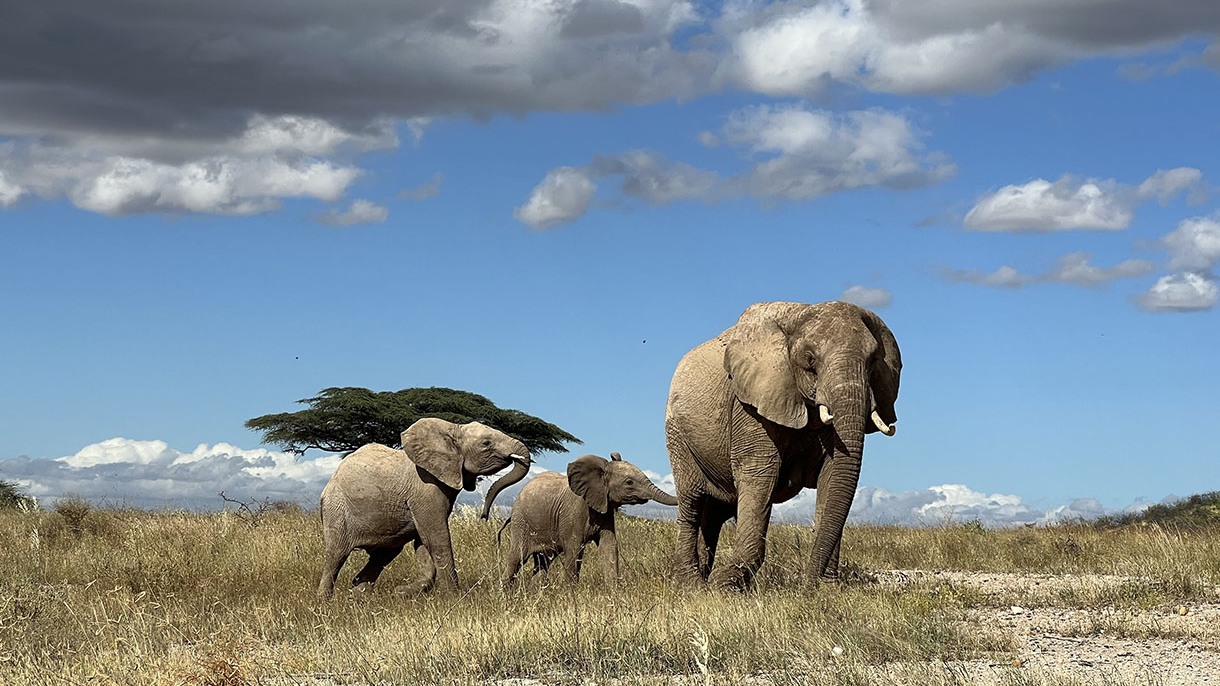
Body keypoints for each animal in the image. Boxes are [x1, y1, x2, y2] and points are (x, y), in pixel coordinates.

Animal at [316, 417, 530, 598]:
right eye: (486, 443)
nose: (484, 516)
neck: (452, 429)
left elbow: (423, 541)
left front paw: (402, 592)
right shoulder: (426, 488)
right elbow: (436, 537)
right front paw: (454, 597)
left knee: (383, 555)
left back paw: (358, 597)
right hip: (337, 508)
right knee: (336, 554)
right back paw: (325, 601)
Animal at [501, 452, 678, 586]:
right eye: (629, 482)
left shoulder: (605, 510)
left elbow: (609, 546)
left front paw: (614, 591)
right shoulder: (574, 512)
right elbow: (574, 549)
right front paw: (570, 594)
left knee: (543, 561)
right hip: (521, 522)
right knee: (516, 557)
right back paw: (507, 594)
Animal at [666, 301, 901, 590]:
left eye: (873, 362)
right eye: (810, 359)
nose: (807, 585)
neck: (800, 313)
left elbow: (833, 478)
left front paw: (828, 588)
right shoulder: (749, 404)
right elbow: (759, 473)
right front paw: (725, 586)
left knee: (715, 513)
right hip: (677, 433)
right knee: (692, 500)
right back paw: (692, 584)